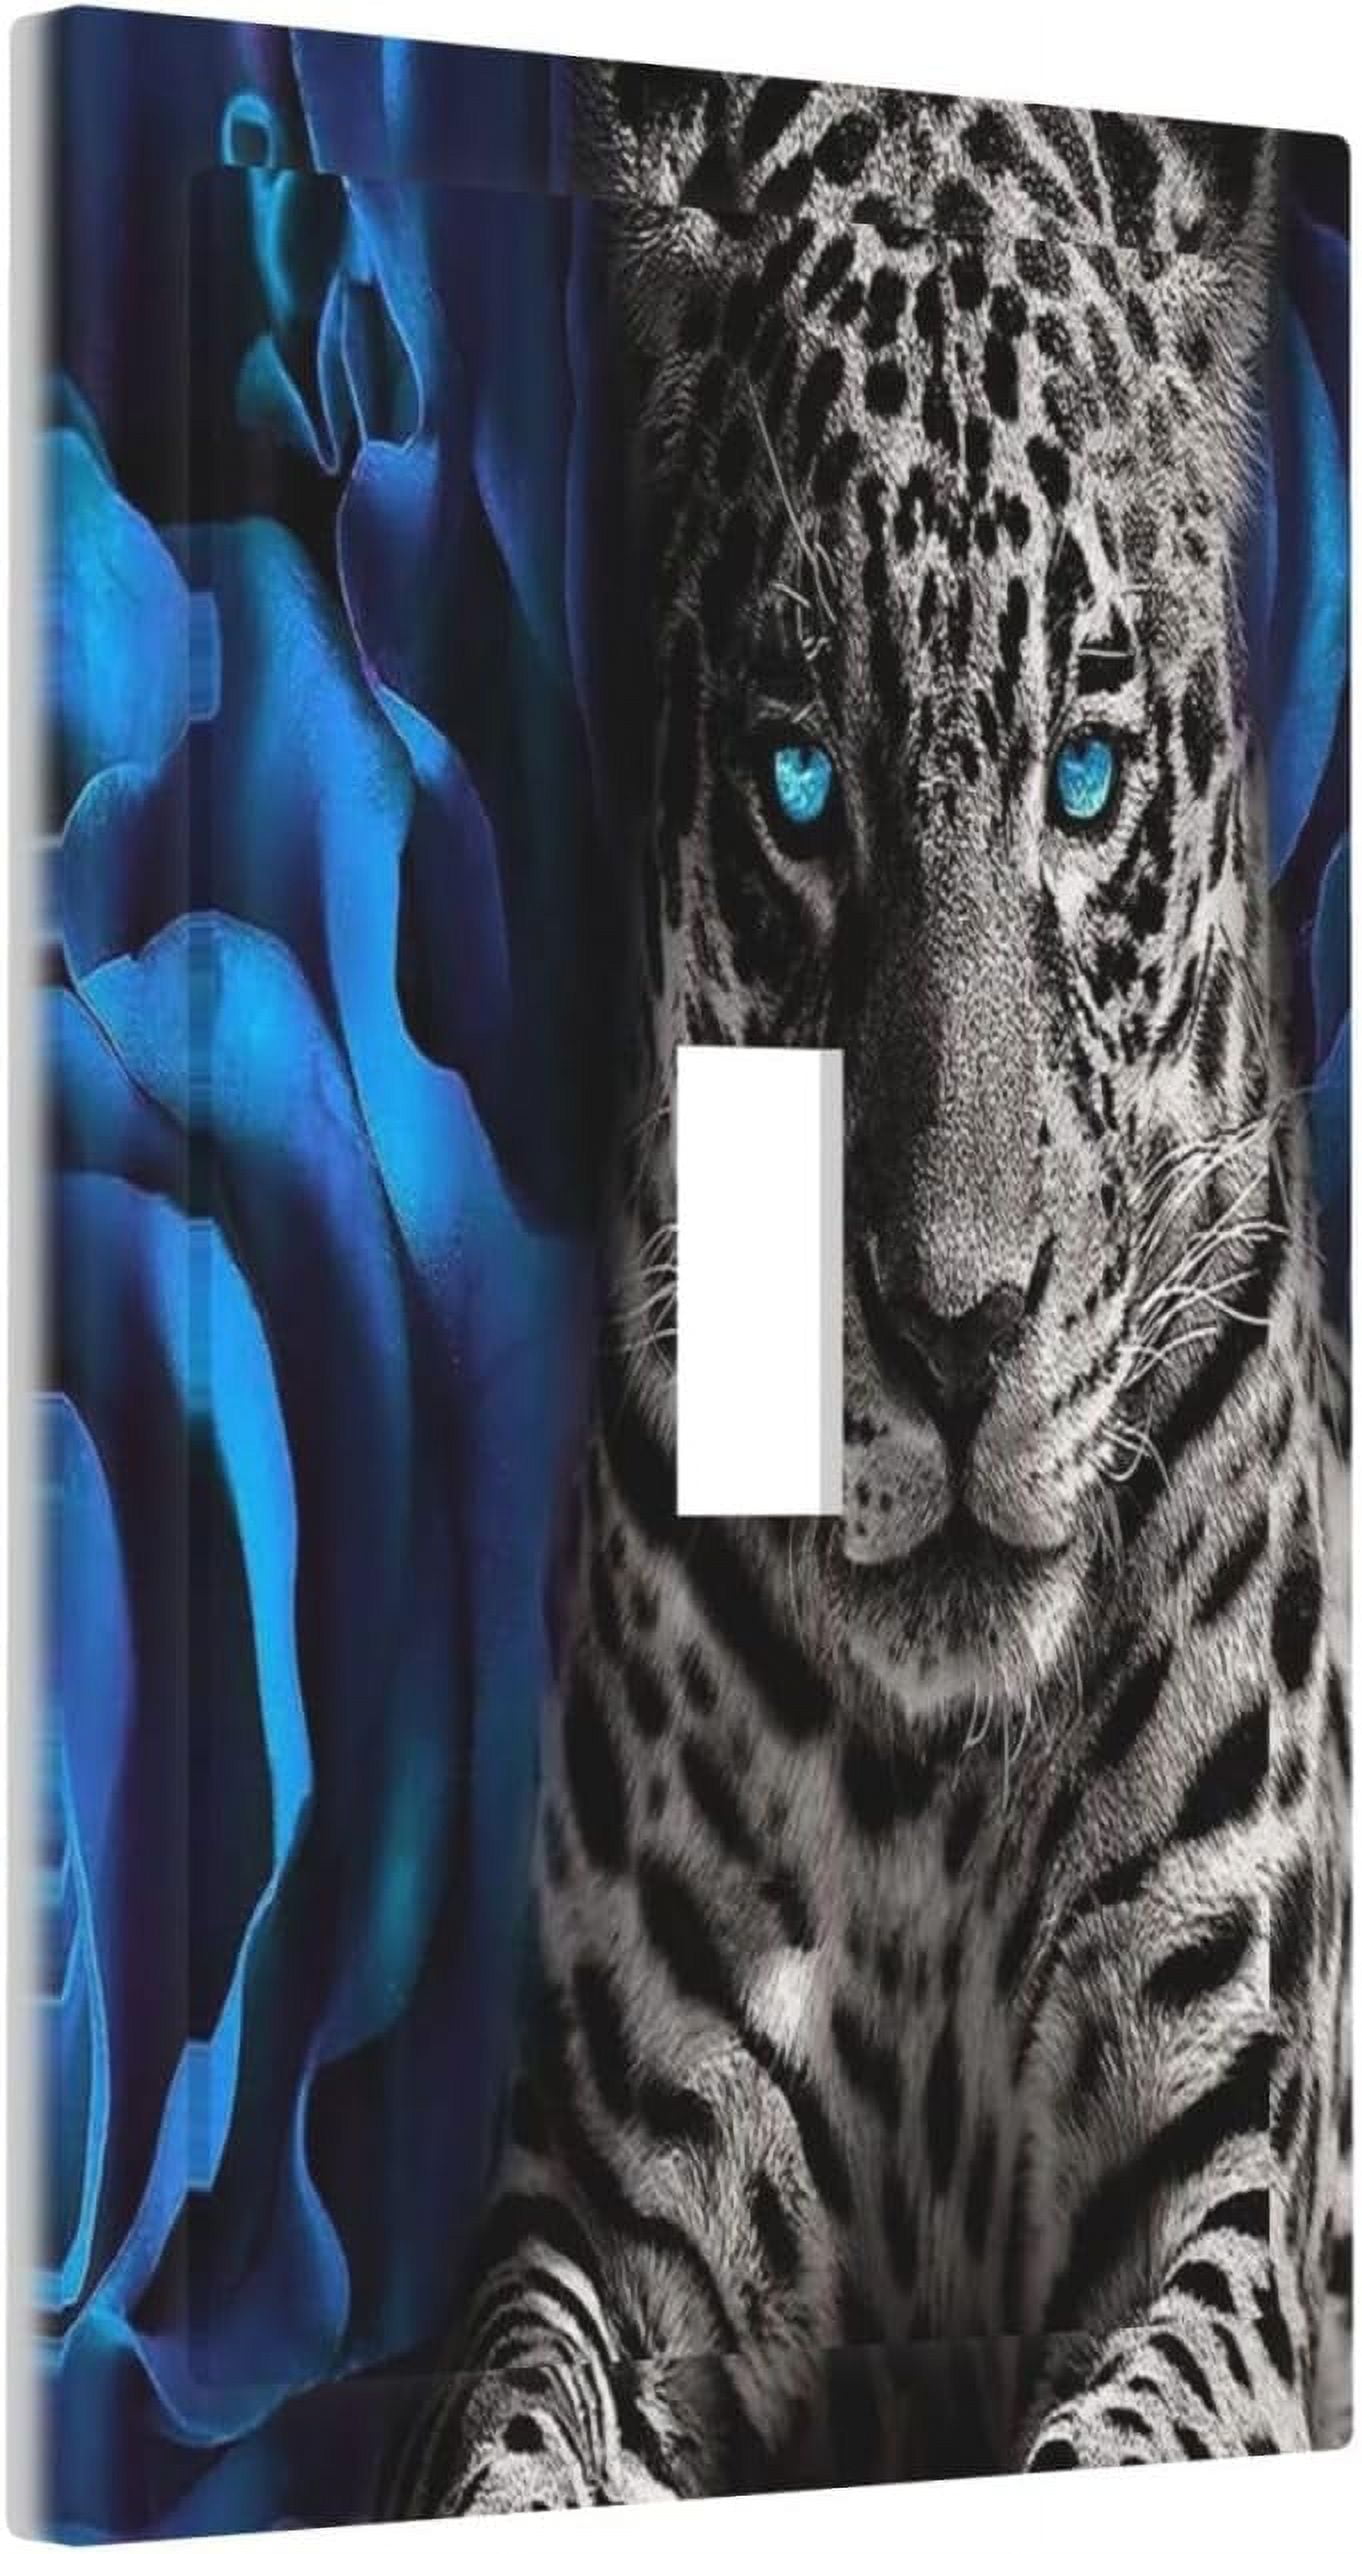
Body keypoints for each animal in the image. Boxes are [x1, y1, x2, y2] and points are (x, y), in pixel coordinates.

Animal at [386, 68, 1351, 2513]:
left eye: (1087, 778)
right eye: (801, 784)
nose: (957, 1323)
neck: (935, 1795)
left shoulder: (1231, 2198)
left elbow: (1124, 2433)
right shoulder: (602, 2190)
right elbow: (503, 2423)